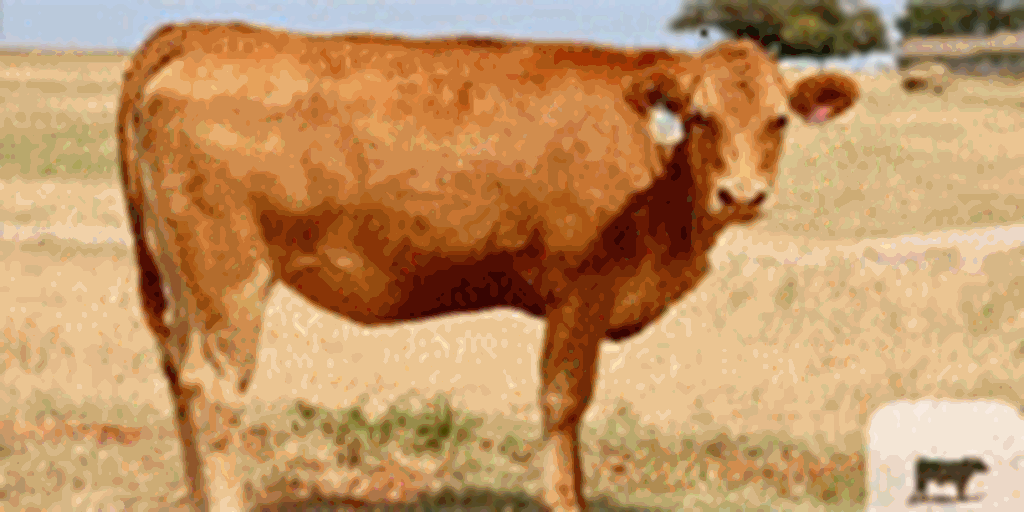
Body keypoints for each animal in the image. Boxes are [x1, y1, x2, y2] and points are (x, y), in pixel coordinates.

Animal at [117, 22, 859, 512]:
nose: (741, 195)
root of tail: (210, 33)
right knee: (214, 389)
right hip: (229, 272)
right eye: (700, 116)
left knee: (179, 378)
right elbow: (564, 401)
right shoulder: (581, 289)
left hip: (185, 279)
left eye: (781, 119)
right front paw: (565, 499)